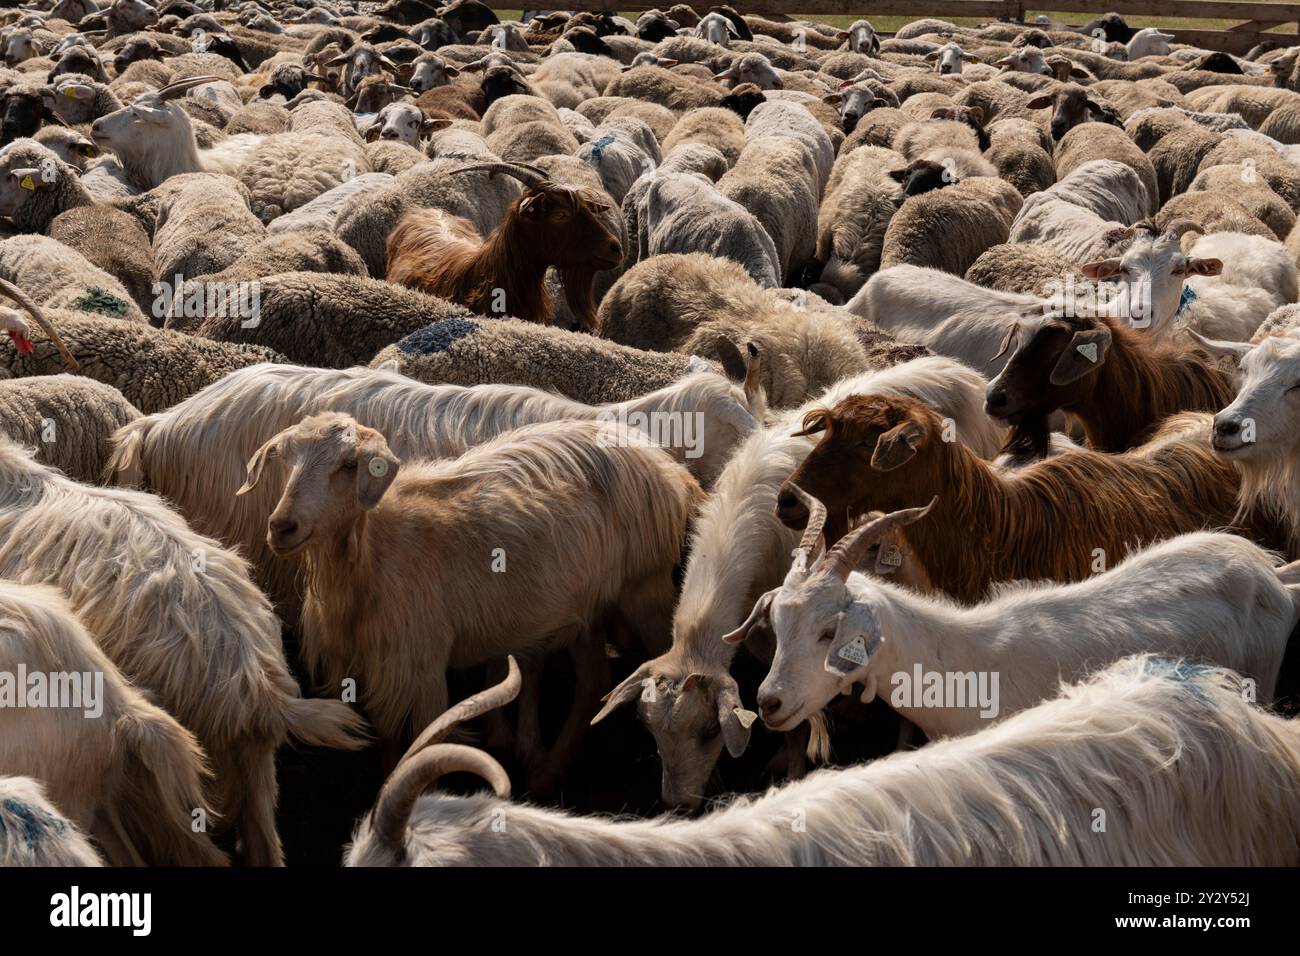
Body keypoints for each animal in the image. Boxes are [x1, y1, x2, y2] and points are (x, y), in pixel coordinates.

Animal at [238, 413, 700, 770]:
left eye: (349, 464)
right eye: (287, 459)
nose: (282, 527)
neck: (374, 549)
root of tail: (668, 466)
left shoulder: (420, 668)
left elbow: (420, 746)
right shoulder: (375, 668)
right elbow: (388, 746)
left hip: (645, 588)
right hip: (586, 608)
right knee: (592, 682)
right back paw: (546, 773)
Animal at [591, 355, 1005, 808]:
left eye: (709, 731)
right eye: (649, 731)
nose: (678, 803)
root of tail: (956, 367)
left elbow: (793, 721)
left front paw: (789, 772)